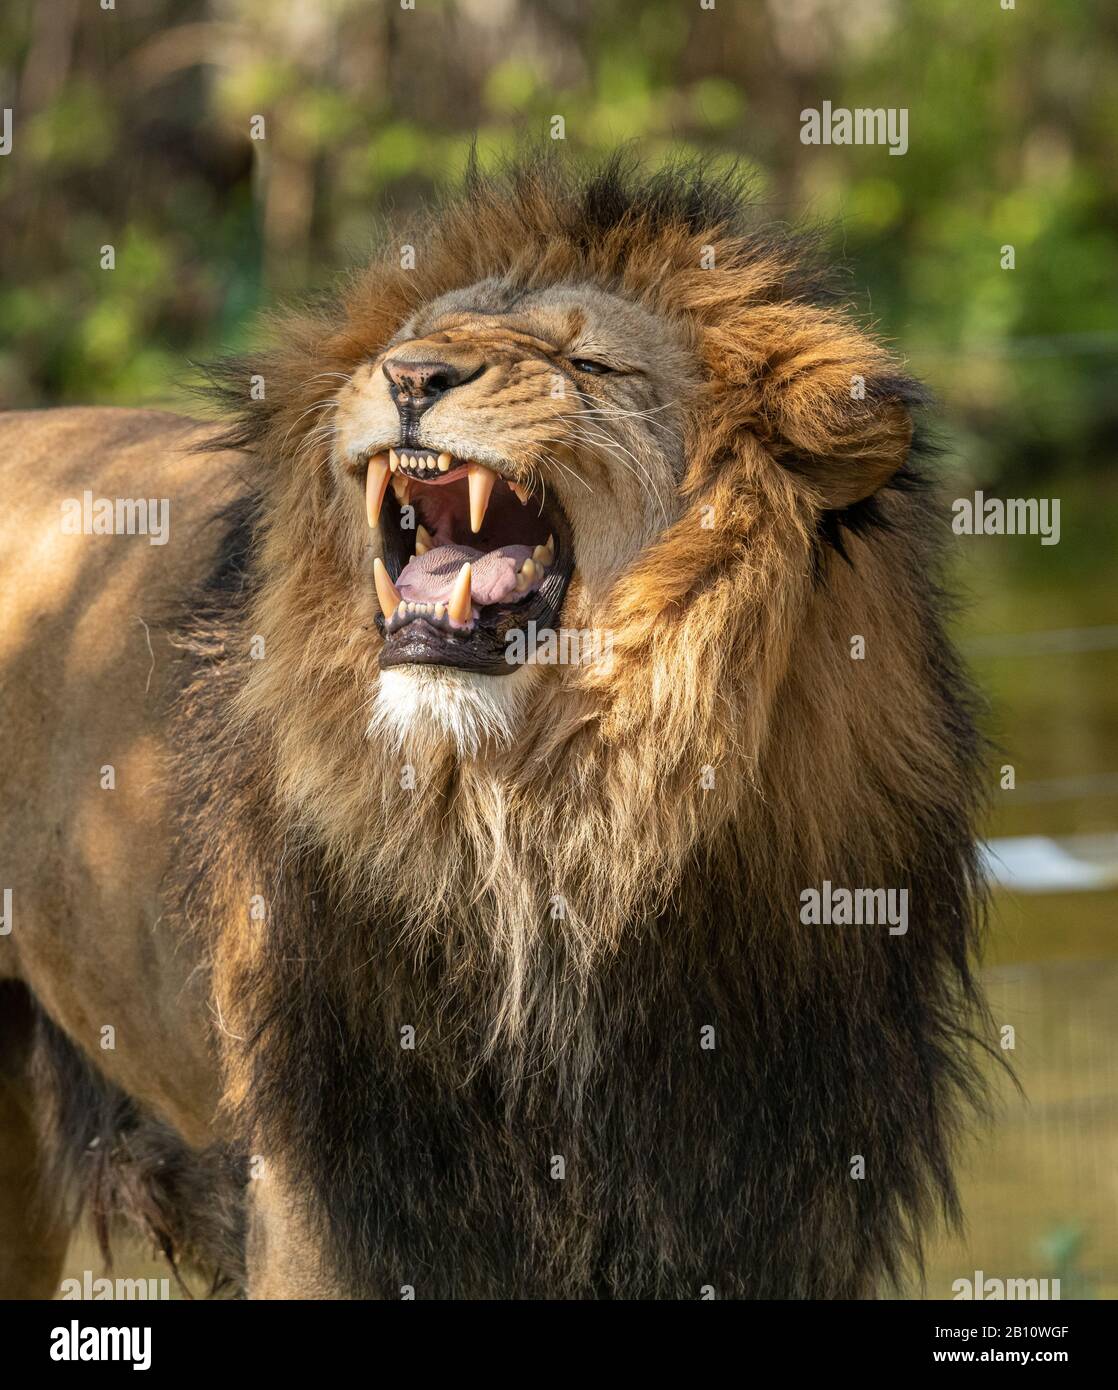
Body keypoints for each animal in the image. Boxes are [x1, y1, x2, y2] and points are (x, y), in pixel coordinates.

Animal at [0, 155, 990, 1299]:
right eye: (412, 340)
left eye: (590, 362)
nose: (410, 377)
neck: (545, 823)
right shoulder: (331, 1190)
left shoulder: (776, 1200)